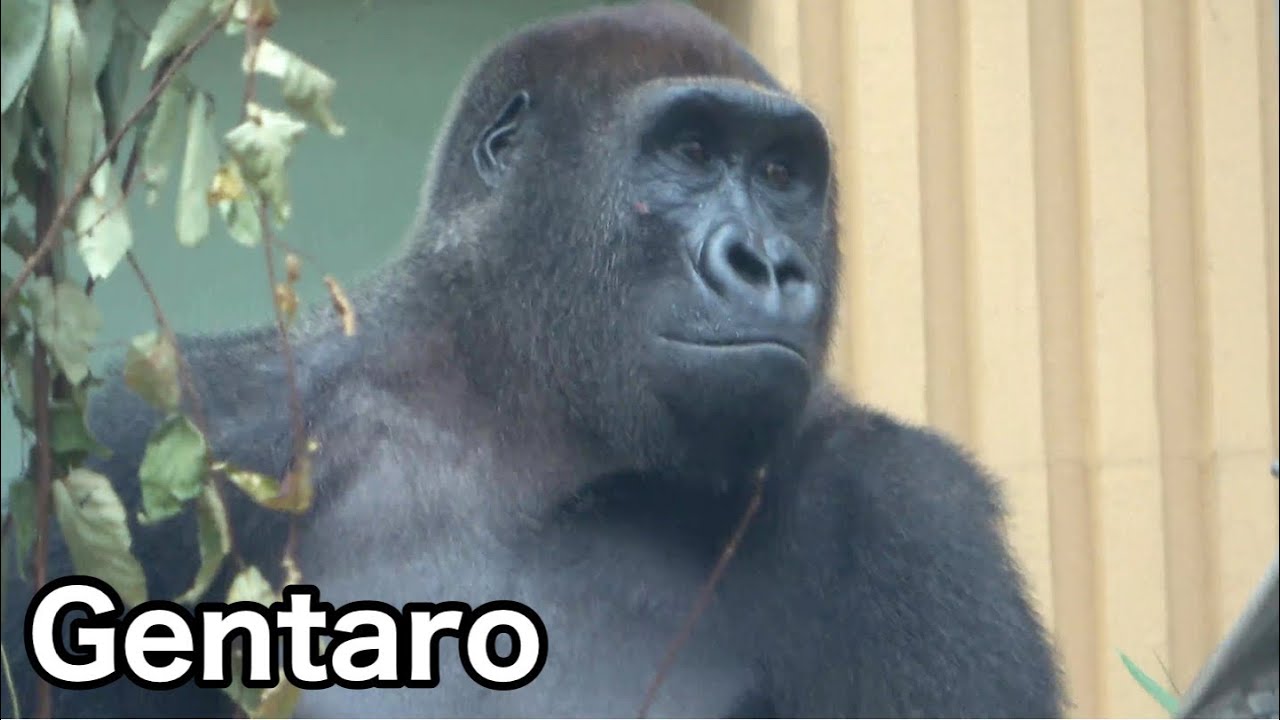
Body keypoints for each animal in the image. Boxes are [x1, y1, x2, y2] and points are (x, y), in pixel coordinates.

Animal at [1, 2, 1065, 717]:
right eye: (689, 152)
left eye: (780, 174)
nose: (770, 263)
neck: (510, 412)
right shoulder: (177, 431)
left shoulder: (916, 515)